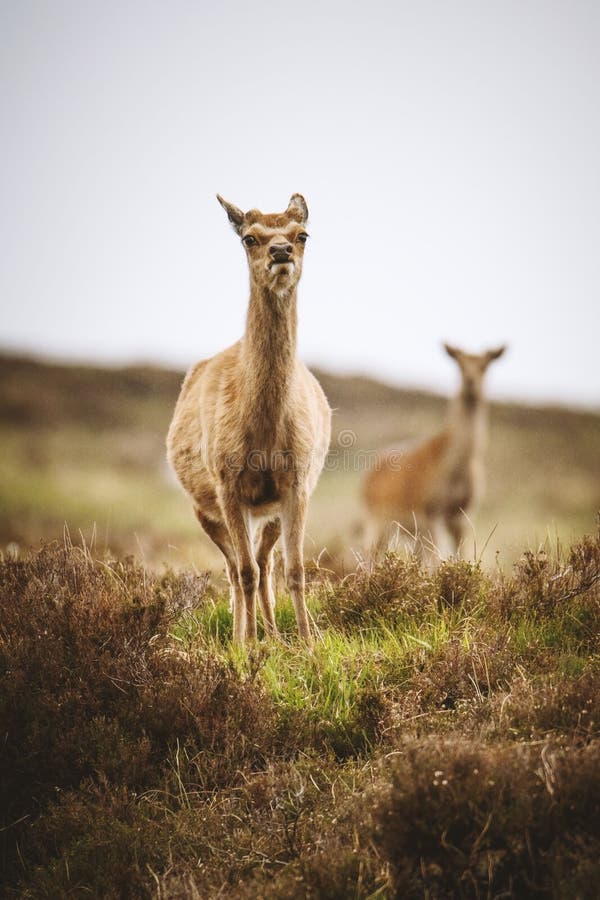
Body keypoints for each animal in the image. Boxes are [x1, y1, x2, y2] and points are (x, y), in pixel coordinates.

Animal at [167, 194, 331, 645]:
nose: (281, 251)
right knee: (236, 567)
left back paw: (273, 634)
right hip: (204, 508)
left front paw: (307, 644)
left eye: (303, 234)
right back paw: (245, 634)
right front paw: (247, 647)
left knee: (265, 561)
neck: (265, 431)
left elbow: (295, 569)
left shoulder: (297, 483)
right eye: (249, 238)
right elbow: (244, 570)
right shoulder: (227, 484)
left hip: (268, 511)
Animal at [362, 343, 506, 562]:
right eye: (459, 364)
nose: (471, 382)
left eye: (485, 366)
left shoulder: (464, 514)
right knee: (368, 553)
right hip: (377, 518)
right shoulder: (430, 511)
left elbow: (462, 556)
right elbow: (437, 561)